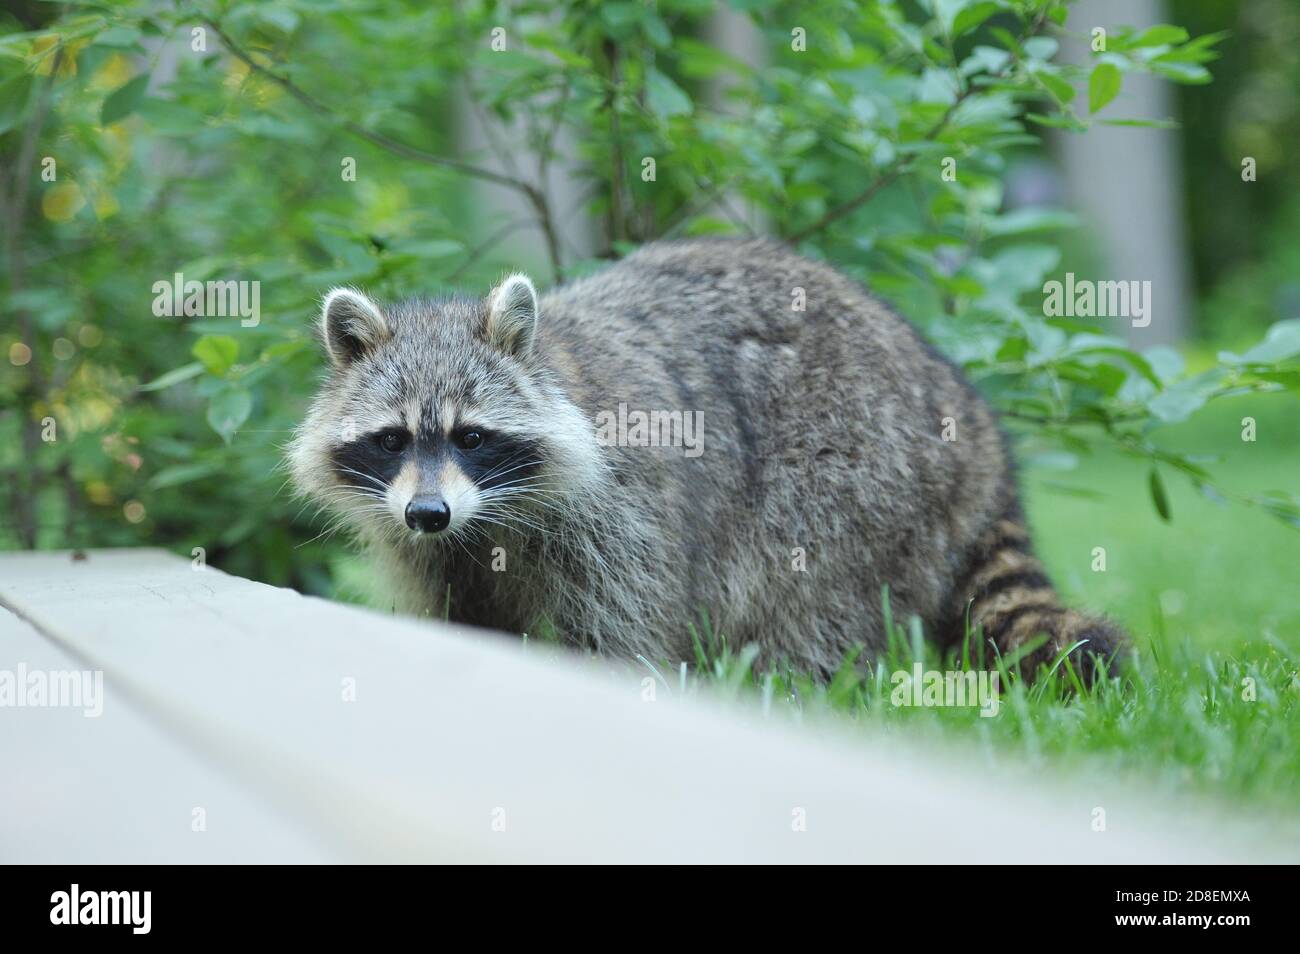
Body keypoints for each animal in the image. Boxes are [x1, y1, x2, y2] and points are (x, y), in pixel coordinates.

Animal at [289, 237, 1127, 678]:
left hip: (860, 468)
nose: (429, 511)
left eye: (470, 436)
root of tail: (964, 410)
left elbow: (621, 621)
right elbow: (457, 609)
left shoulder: (625, 507)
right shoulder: (423, 539)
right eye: (393, 439)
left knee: (811, 591)